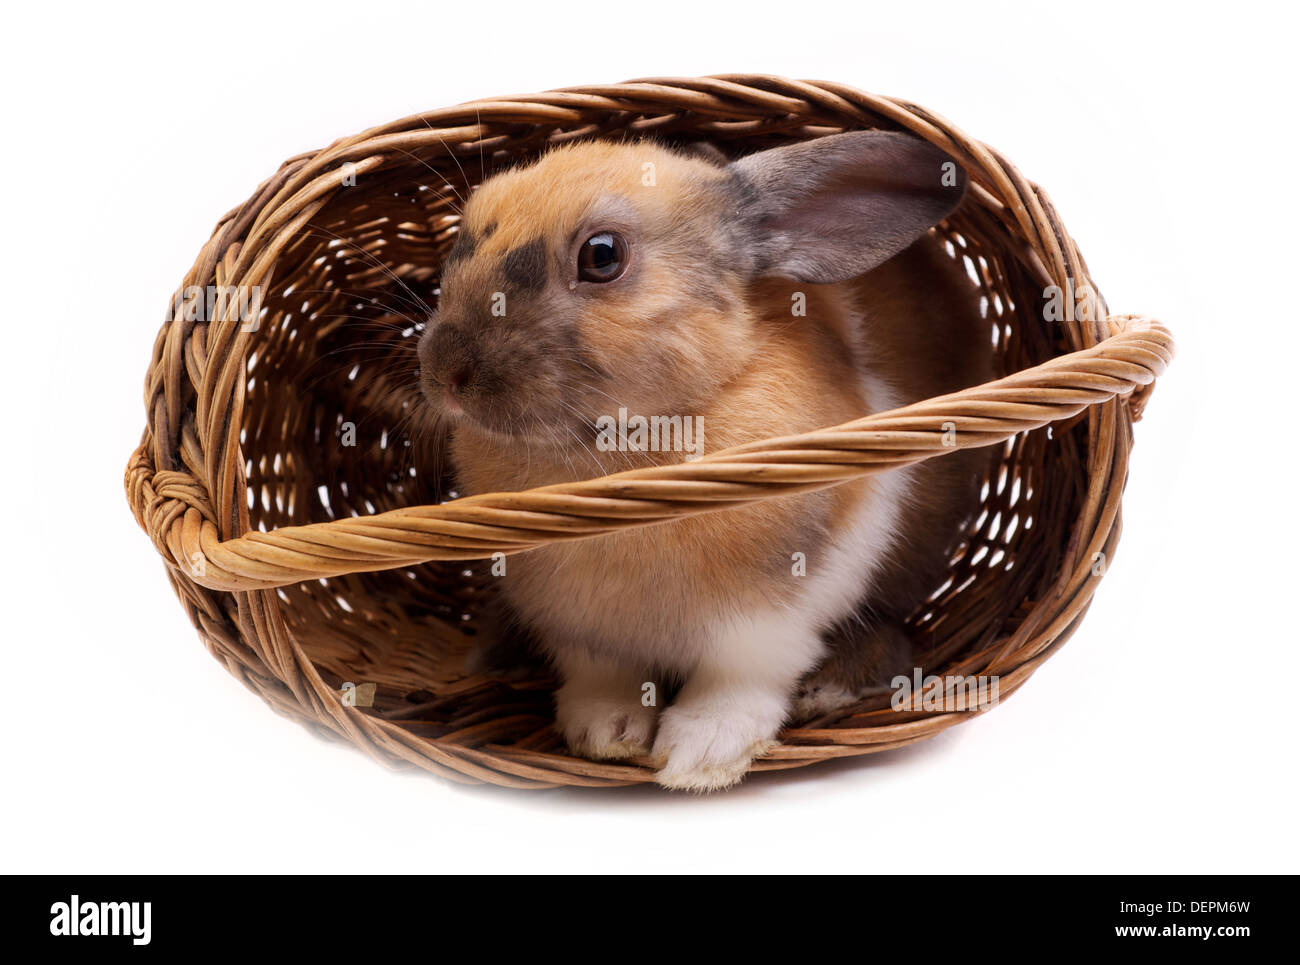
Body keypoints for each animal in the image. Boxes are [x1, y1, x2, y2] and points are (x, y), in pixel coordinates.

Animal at [416, 131, 992, 791]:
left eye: (602, 256)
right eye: (463, 234)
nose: (445, 371)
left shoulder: (777, 616)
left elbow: (740, 681)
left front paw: (700, 756)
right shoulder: (579, 631)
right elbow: (601, 678)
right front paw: (603, 736)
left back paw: (829, 690)